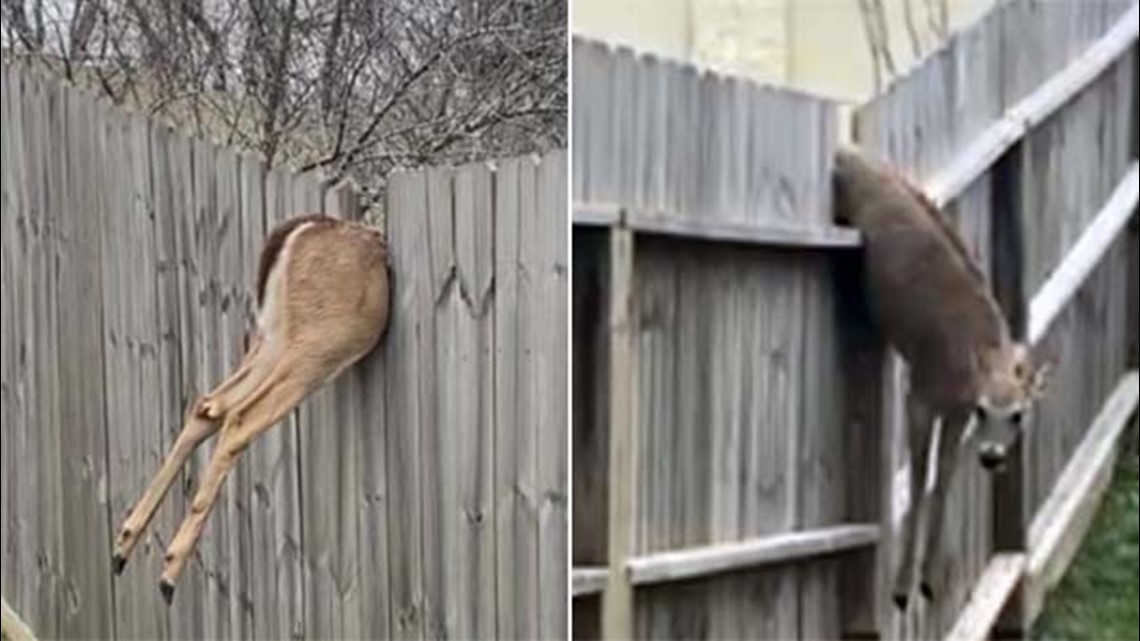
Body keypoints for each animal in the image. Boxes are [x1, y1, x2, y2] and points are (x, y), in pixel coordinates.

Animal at [110, 214, 391, 604]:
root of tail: (299, 231)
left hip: (274, 338)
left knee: (208, 406)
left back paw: (123, 548)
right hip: (320, 345)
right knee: (241, 416)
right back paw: (168, 573)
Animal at [833, 149, 1049, 610]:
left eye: (1019, 414)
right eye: (985, 409)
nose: (991, 456)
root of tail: (847, 153)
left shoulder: (955, 412)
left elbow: (945, 471)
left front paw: (929, 580)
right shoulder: (921, 391)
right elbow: (918, 476)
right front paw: (901, 588)